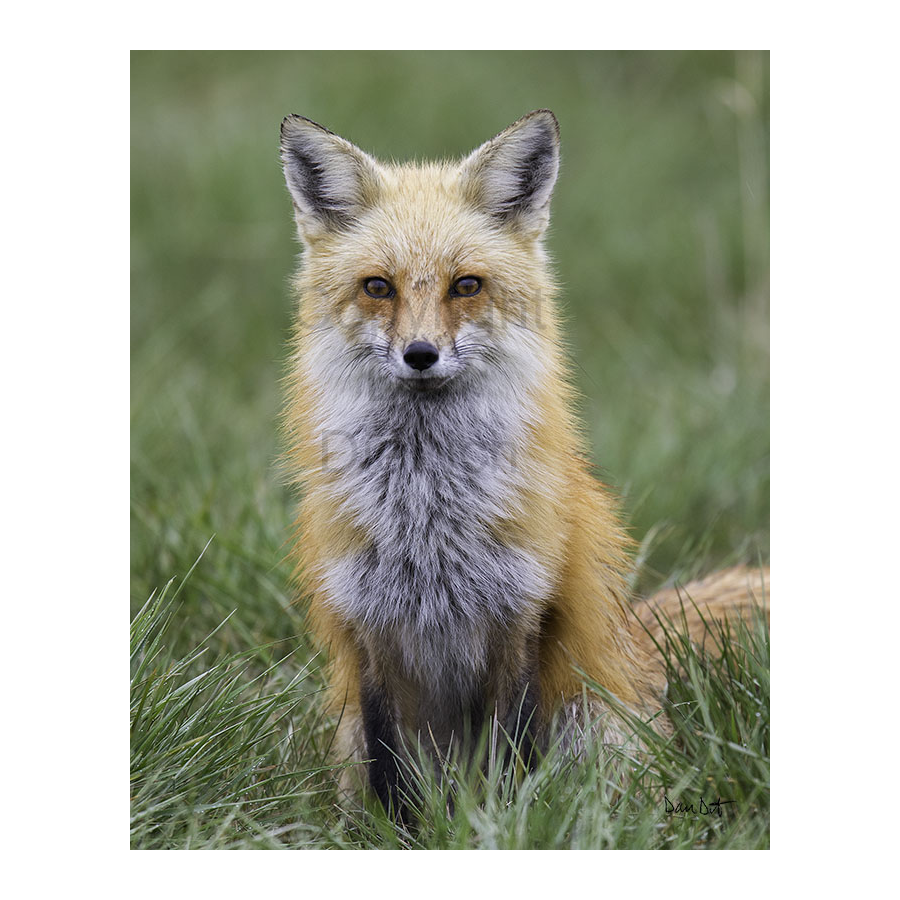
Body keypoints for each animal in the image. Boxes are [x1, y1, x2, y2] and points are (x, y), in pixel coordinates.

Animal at [279, 109, 769, 812]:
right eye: (378, 287)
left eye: (466, 286)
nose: (420, 354)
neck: (428, 516)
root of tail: (635, 639)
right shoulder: (368, 626)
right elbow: (391, 772)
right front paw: (402, 829)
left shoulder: (524, 614)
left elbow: (508, 759)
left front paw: (501, 822)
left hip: (592, 723)